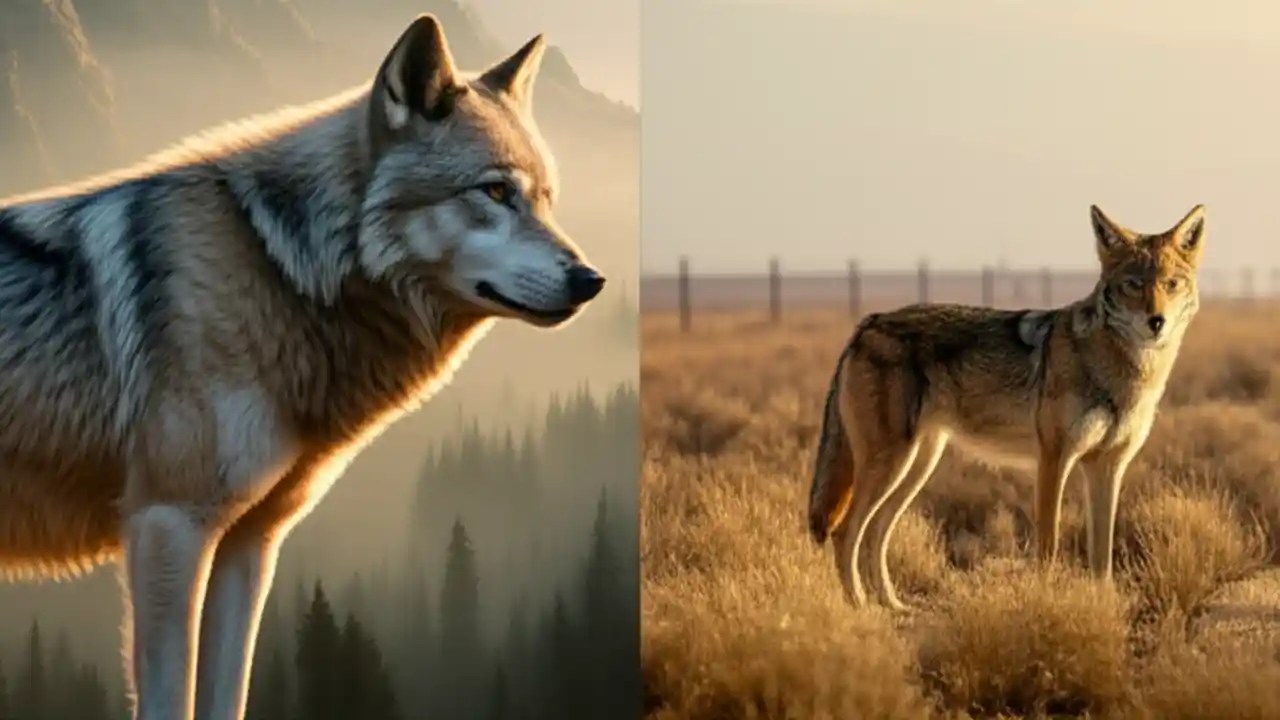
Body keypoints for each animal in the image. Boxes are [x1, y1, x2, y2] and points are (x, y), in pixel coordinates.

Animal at [0, 14, 605, 720]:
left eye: (546, 200)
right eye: (496, 191)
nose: (591, 280)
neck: (276, 267)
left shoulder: (250, 545)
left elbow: (226, 696)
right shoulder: (167, 525)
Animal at [807, 204, 1205, 610]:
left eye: (1171, 284)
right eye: (1134, 284)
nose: (1156, 322)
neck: (1122, 370)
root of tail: (865, 325)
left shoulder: (1106, 467)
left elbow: (1102, 556)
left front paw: (1102, 604)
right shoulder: (1054, 459)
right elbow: (1048, 546)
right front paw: (1045, 601)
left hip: (917, 466)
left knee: (875, 533)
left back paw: (893, 606)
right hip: (890, 464)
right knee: (846, 532)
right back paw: (859, 606)